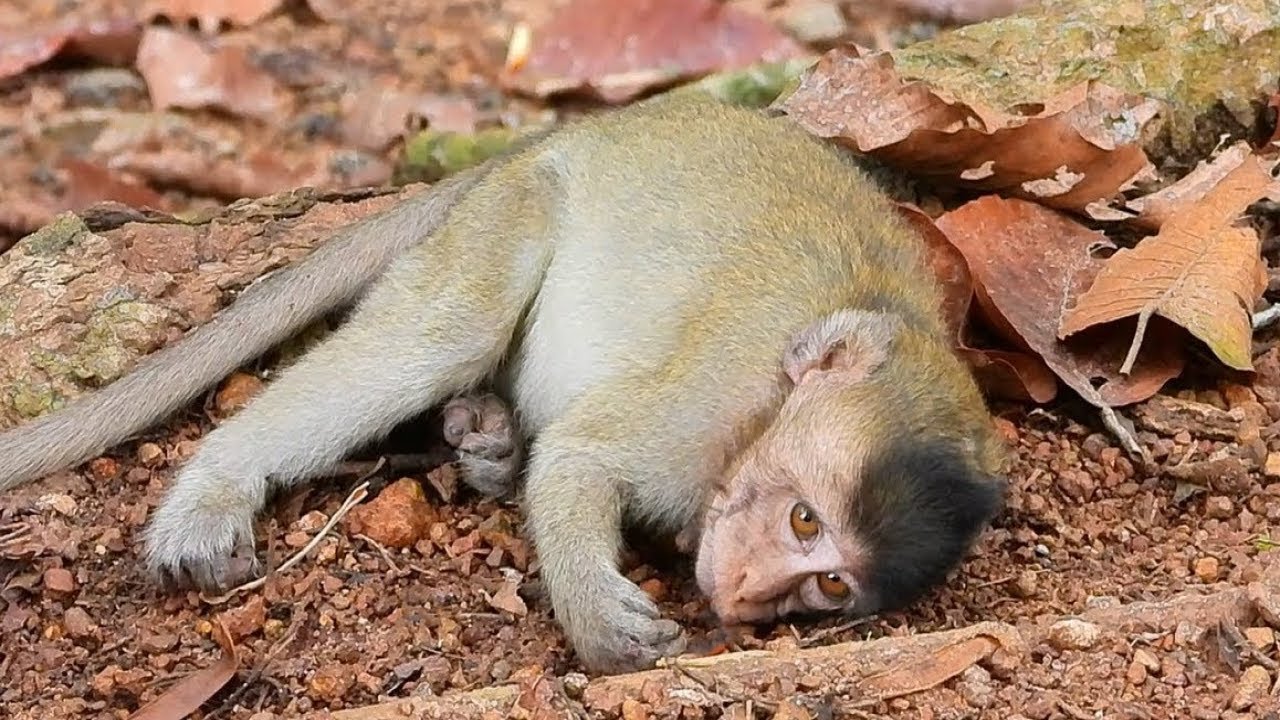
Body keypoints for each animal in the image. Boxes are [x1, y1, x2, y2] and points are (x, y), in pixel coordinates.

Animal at [0, 93, 1005, 674]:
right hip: (514, 214)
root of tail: (554, 141)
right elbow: (579, 456)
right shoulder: (706, 405)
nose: (750, 591)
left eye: (827, 587)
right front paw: (599, 619)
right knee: (443, 335)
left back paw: (485, 439)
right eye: (804, 519)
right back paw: (219, 486)